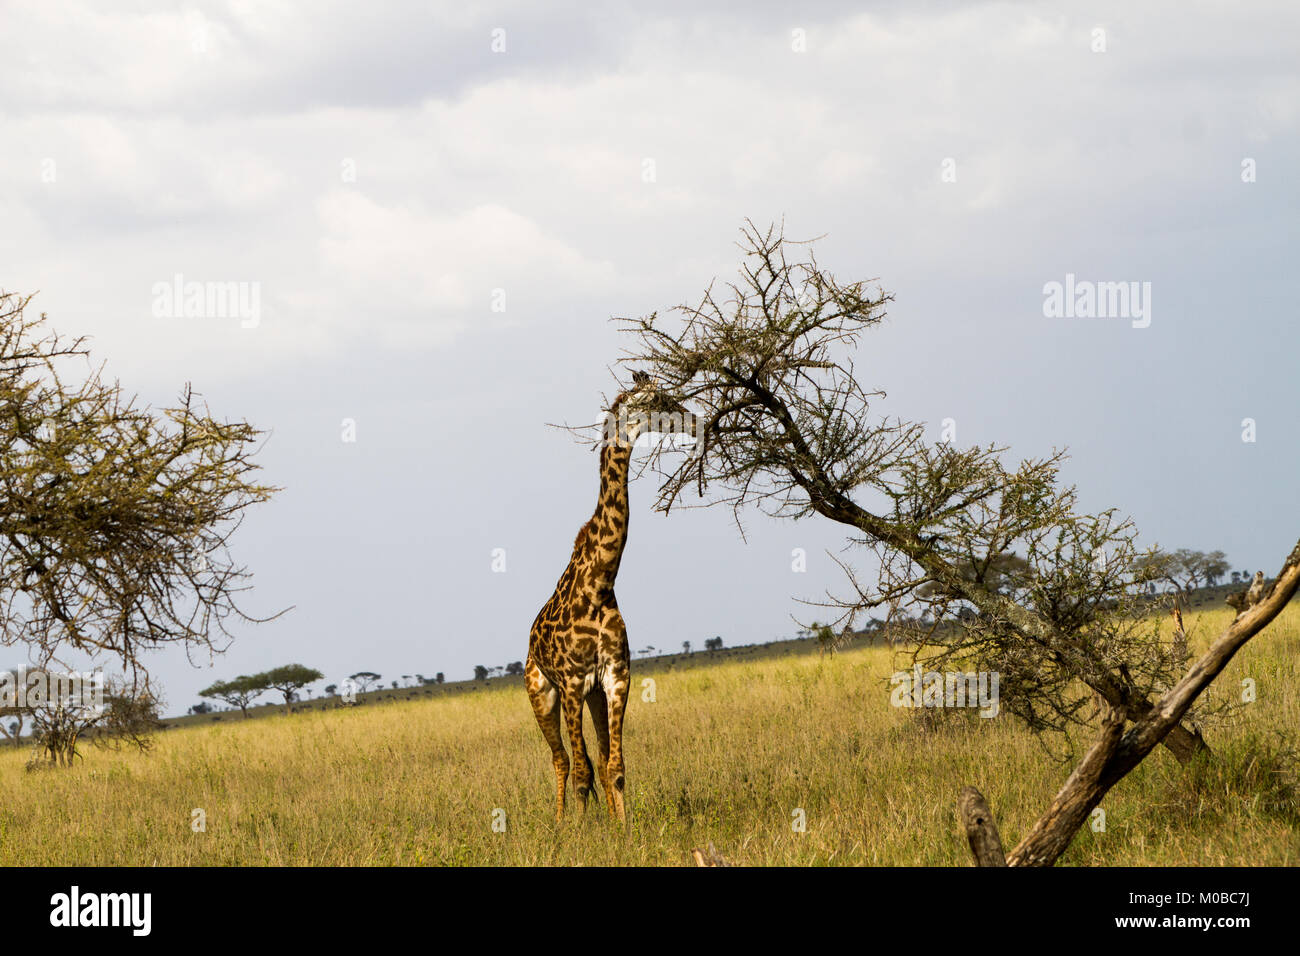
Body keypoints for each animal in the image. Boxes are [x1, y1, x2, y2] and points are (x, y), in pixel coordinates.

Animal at [526, 371, 694, 824]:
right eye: (658, 399)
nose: (692, 420)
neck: (599, 582)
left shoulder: (616, 677)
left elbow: (614, 766)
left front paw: (624, 830)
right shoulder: (570, 683)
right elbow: (583, 769)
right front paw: (581, 832)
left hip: (594, 695)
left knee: (596, 760)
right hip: (541, 693)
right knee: (562, 760)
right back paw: (560, 823)